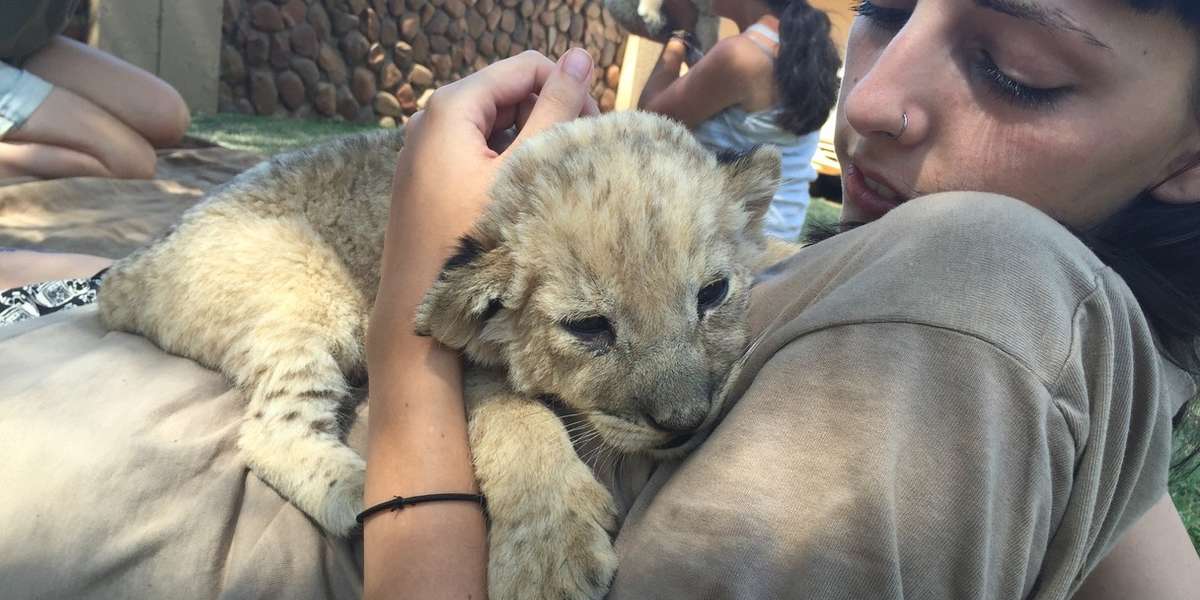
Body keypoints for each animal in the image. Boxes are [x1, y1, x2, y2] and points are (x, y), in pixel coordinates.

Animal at [98, 111, 786, 599]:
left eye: (713, 294)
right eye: (588, 327)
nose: (687, 422)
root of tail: (129, 271)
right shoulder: (466, 360)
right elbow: (518, 421)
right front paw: (549, 556)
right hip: (306, 298)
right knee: (267, 432)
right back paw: (359, 490)